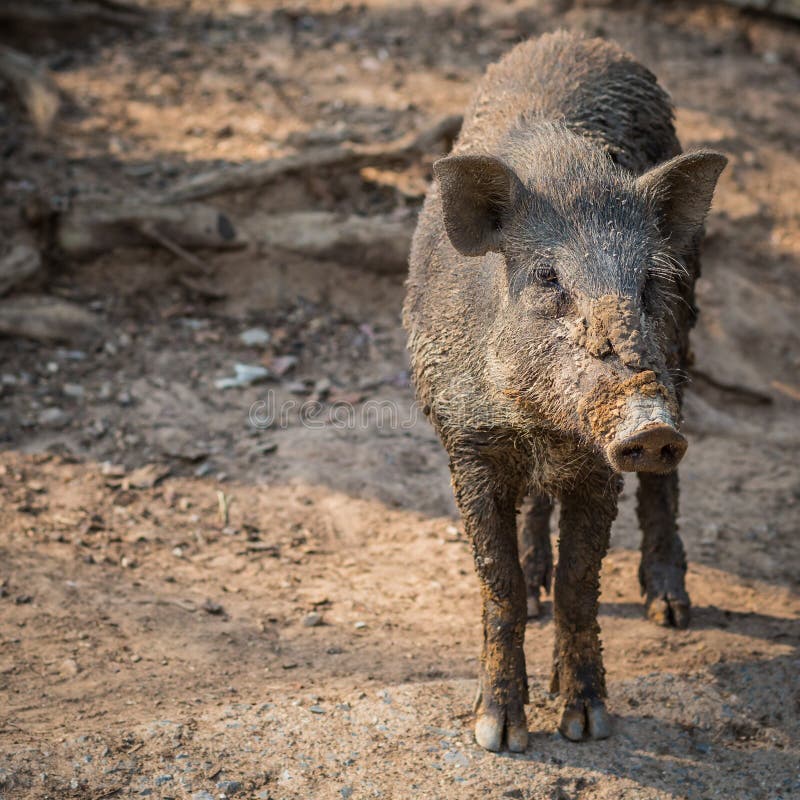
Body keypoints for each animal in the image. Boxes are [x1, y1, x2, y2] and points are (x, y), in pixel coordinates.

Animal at [403, 31, 726, 752]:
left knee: (662, 488)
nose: (650, 425)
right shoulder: (466, 443)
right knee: (534, 519)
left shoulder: (601, 466)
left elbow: (583, 580)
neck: (542, 423)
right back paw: (538, 593)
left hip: (684, 351)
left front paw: (587, 725)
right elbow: (497, 581)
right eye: (548, 278)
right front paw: (499, 735)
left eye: (647, 280)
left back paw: (671, 611)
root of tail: (582, 38)